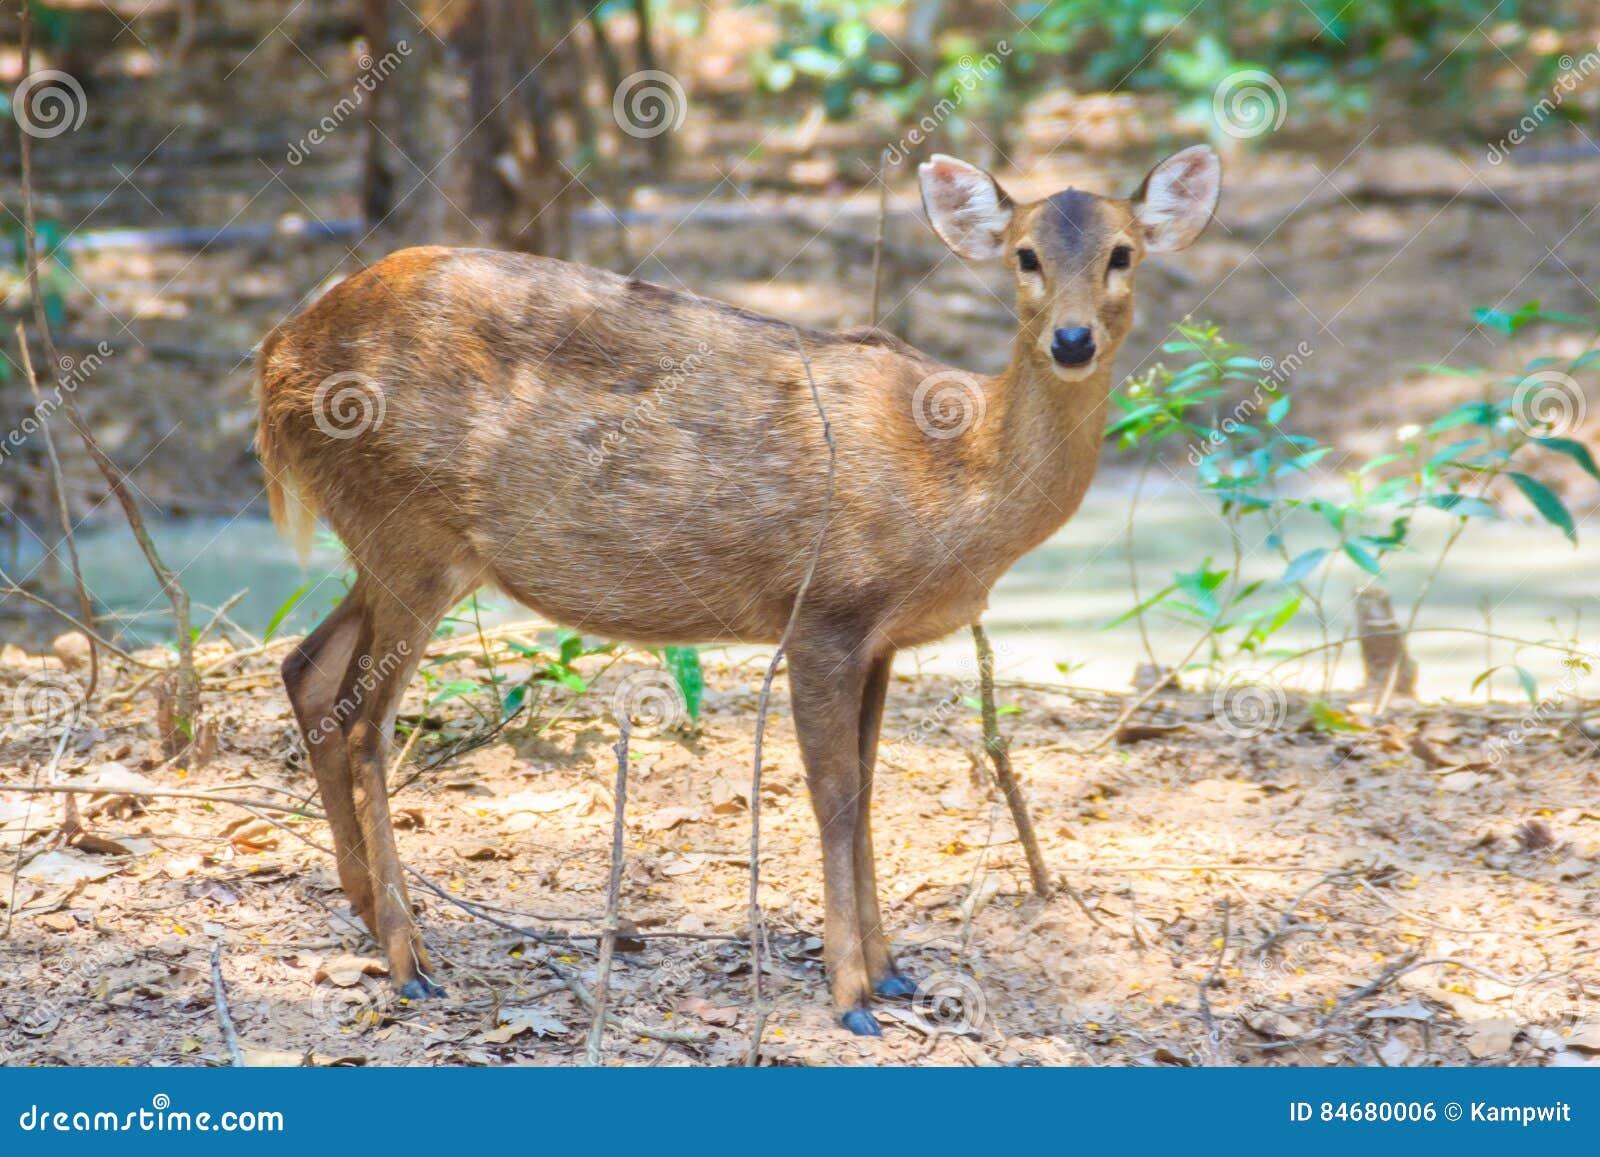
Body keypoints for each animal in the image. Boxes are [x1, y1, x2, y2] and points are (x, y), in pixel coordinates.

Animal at [255, 146, 1221, 1036]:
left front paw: (892, 970)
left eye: (1123, 252)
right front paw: (850, 993)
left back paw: (365, 909)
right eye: (1026, 254)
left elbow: (869, 782)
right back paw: (410, 959)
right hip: (409, 534)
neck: (954, 471)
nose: (1072, 340)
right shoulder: (825, 610)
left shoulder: (880, 638)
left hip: (387, 545)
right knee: (366, 723)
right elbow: (834, 791)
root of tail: (276, 356)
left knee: (307, 669)